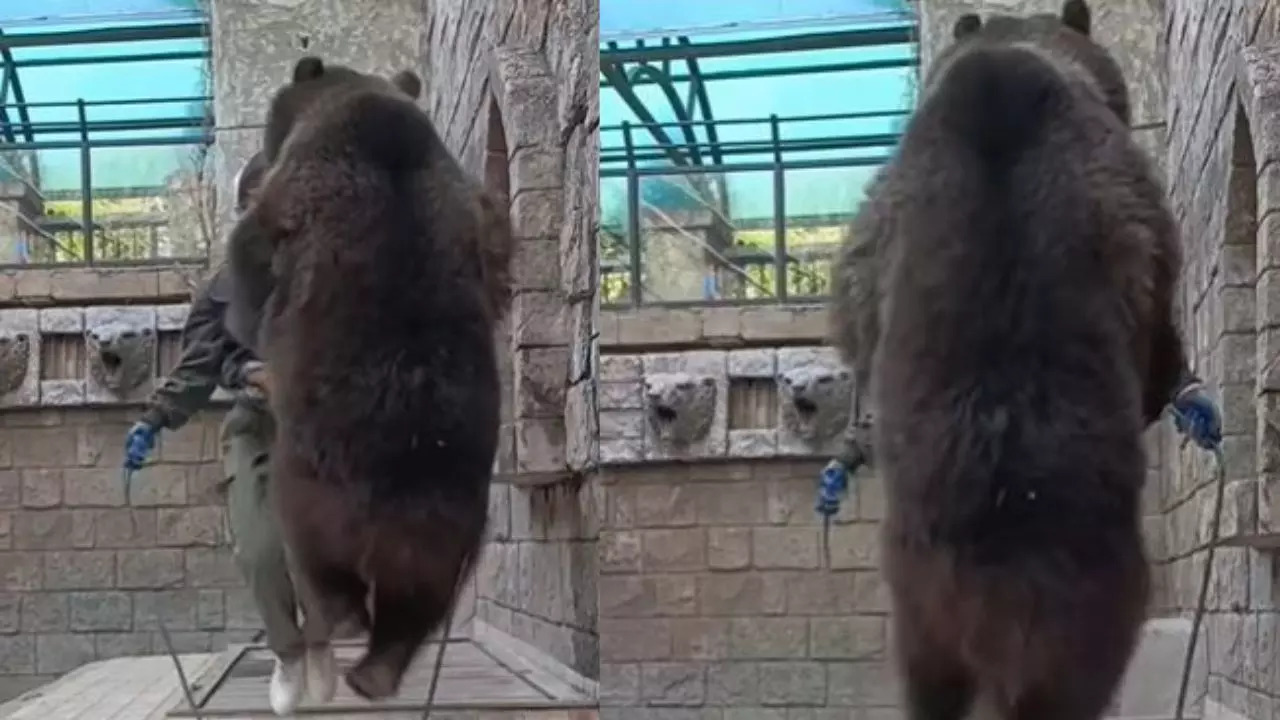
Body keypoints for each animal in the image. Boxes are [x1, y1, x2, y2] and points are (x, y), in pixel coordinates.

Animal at [222, 56, 513, 701]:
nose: (248, 164)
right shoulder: (469, 211)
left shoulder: (294, 194)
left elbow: (253, 260)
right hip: (451, 524)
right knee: (416, 607)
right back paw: (373, 672)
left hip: (312, 492)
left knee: (323, 570)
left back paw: (343, 636)